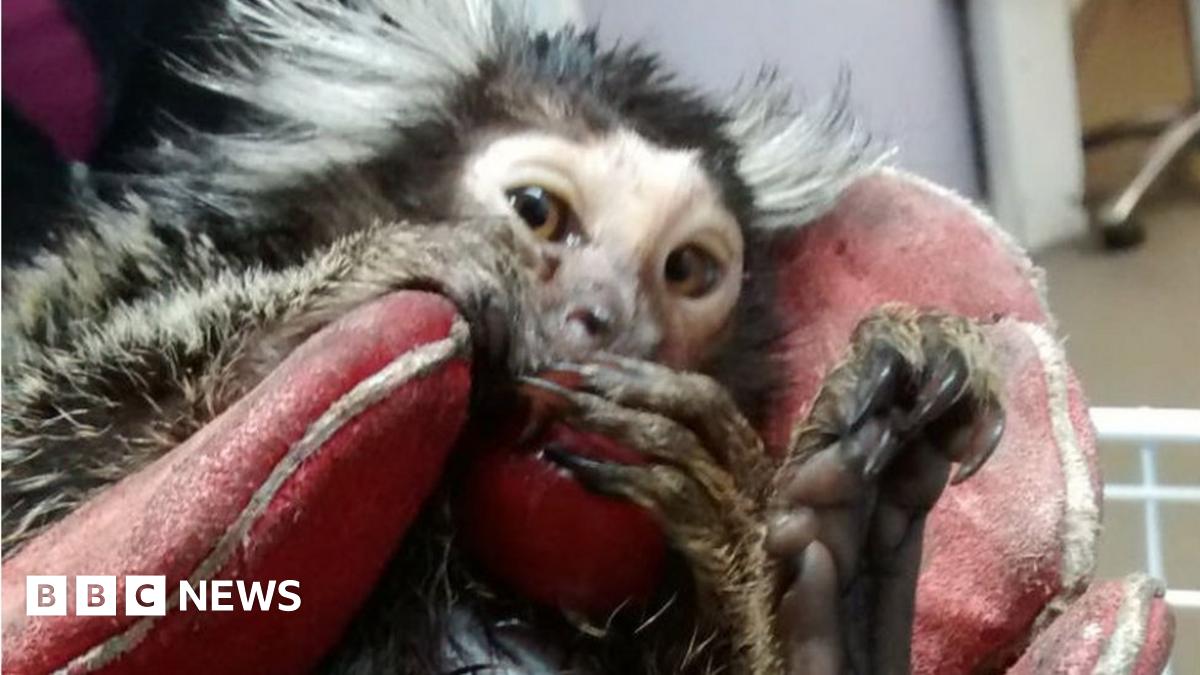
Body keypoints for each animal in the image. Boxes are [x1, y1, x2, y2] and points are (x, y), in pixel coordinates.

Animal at [0, 1, 1006, 674]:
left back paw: (845, 568)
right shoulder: (118, 276)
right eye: (537, 213)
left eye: (686, 269)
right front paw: (364, 298)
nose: (604, 318)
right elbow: (33, 460)